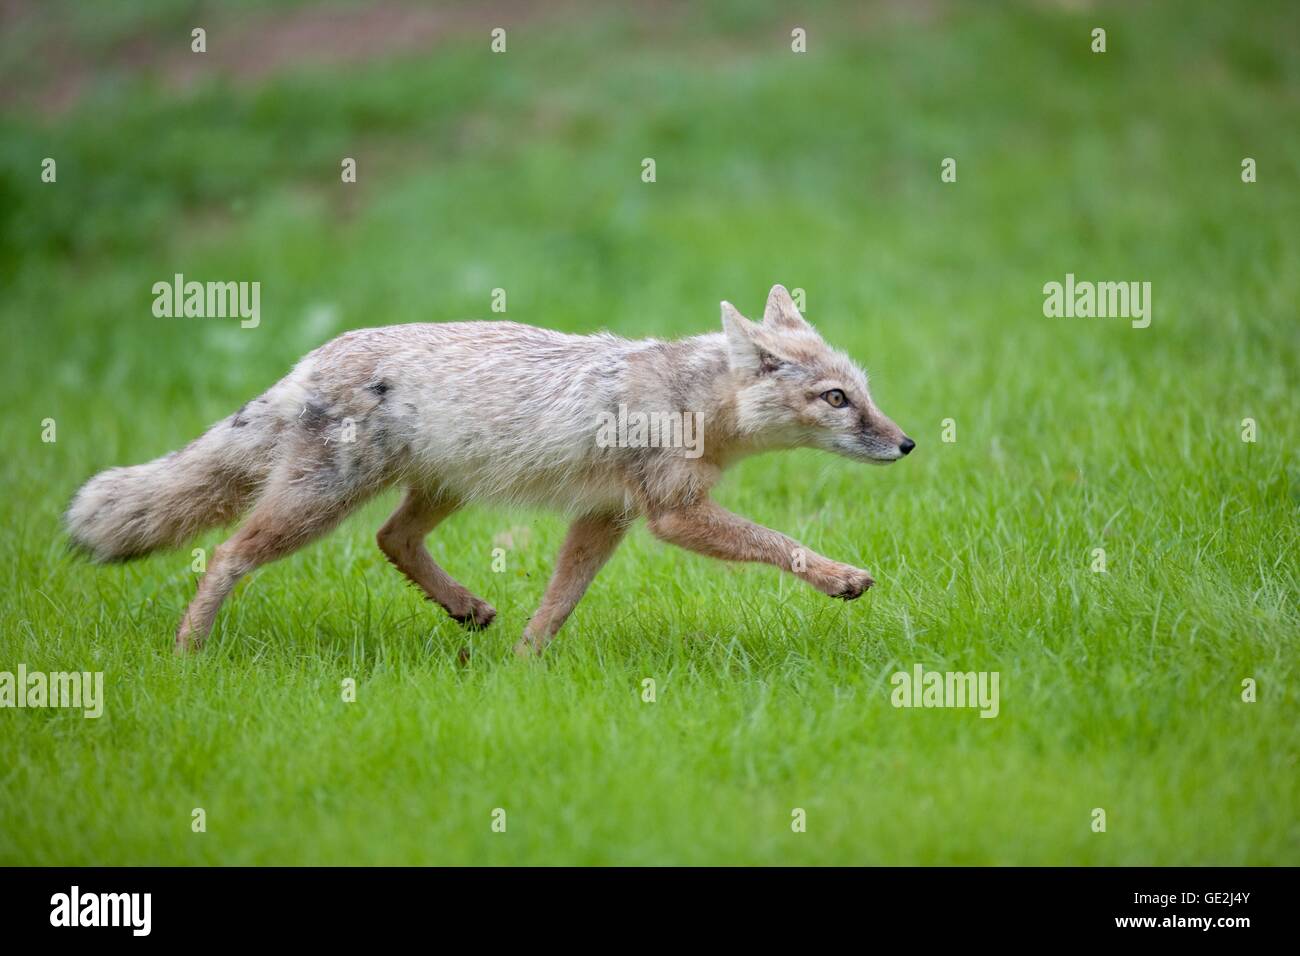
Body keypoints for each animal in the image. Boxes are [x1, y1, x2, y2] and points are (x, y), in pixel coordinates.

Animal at [65, 285, 914, 655]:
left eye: (864, 392)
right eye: (837, 400)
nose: (907, 445)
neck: (690, 397)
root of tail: (312, 357)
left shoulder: (605, 517)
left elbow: (559, 601)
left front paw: (524, 665)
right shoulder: (672, 515)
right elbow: (779, 544)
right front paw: (838, 577)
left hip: (437, 493)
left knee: (392, 540)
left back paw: (465, 608)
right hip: (315, 508)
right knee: (227, 554)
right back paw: (189, 650)